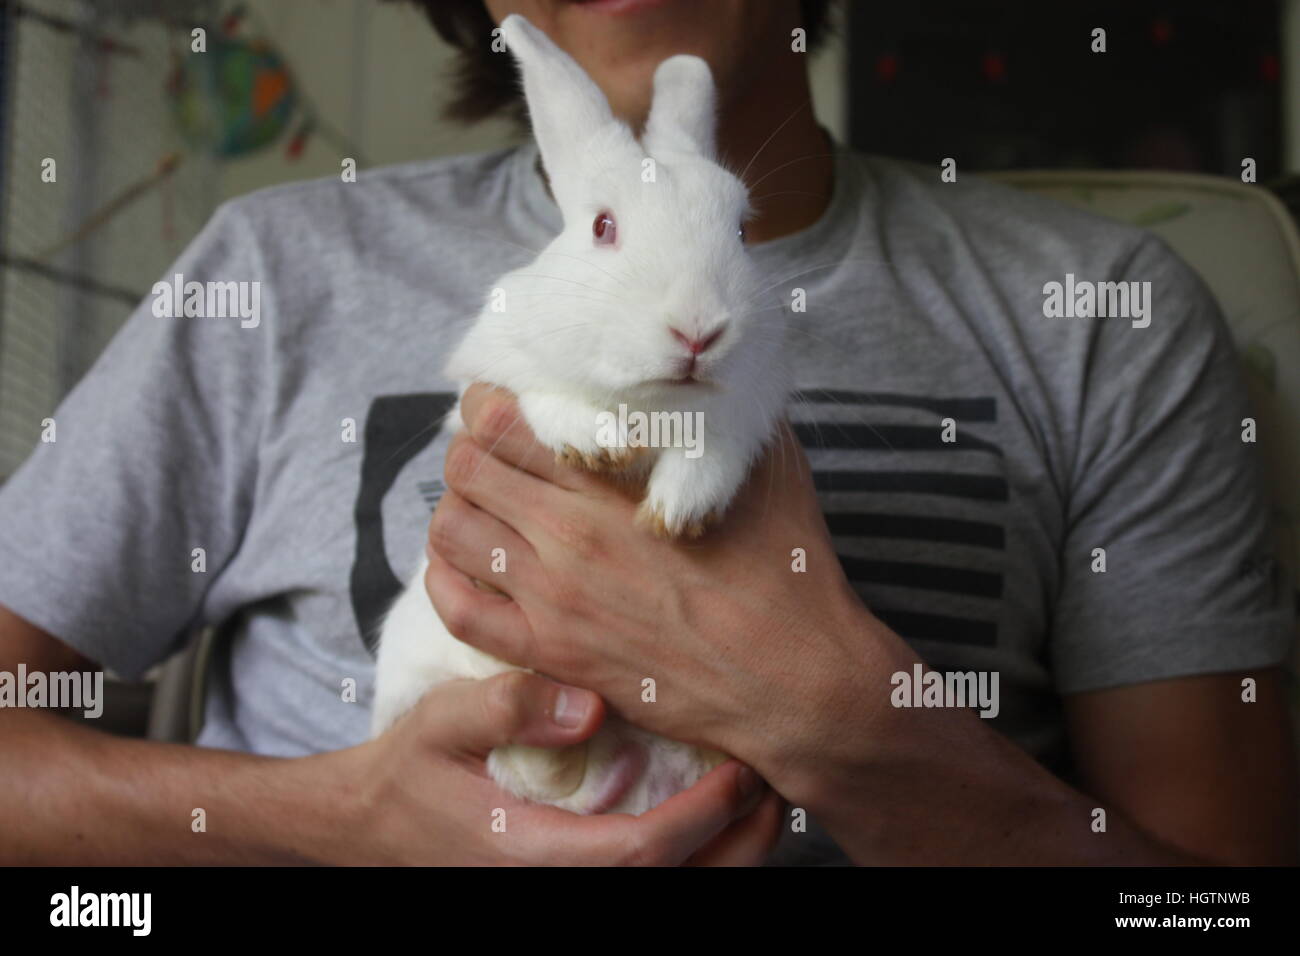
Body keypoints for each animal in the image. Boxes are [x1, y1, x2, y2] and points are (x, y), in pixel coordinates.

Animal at [370, 14, 790, 816]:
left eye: (744, 232)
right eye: (601, 227)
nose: (699, 330)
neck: (652, 405)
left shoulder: (746, 411)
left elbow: (715, 451)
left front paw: (678, 513)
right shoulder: (499, 371)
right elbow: (545, 399)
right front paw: (597, 446)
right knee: (529, 766)